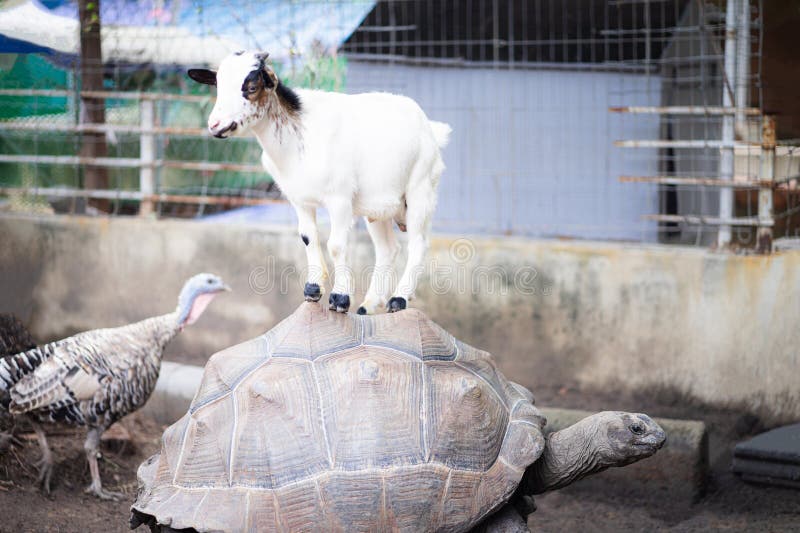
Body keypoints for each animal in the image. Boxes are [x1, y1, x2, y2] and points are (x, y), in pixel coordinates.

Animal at [189, 51, 451, 314]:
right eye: (218, 86)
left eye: (252, 87)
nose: (215, 125)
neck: (299, 139)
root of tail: (431, 129)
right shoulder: (299, 200)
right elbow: (308, 237)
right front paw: (313, 290)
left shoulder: (340, 198)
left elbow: (336, 244)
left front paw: (340, 298)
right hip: (378, 206)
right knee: (388, 248)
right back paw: (367, 306)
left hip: (421, 189)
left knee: (418, 244)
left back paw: (399, 299)